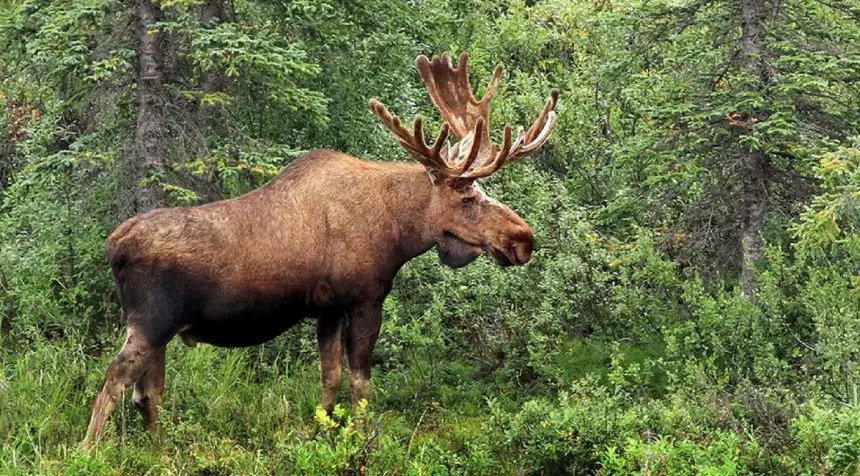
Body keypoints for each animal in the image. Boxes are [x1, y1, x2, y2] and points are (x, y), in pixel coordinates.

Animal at [82, 52, 558, 448]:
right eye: (468, 198)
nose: (523, 239)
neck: (397, 228)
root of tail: (114, 246)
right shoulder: (365, 298)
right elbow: (361, 382)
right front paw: (364, 440)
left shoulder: (326, 309)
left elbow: (329, 379)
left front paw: (322, 430)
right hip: (150, 321)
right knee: (114, 380)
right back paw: (89, 451)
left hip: (160, 331)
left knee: (148, 394)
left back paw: (160, 451)